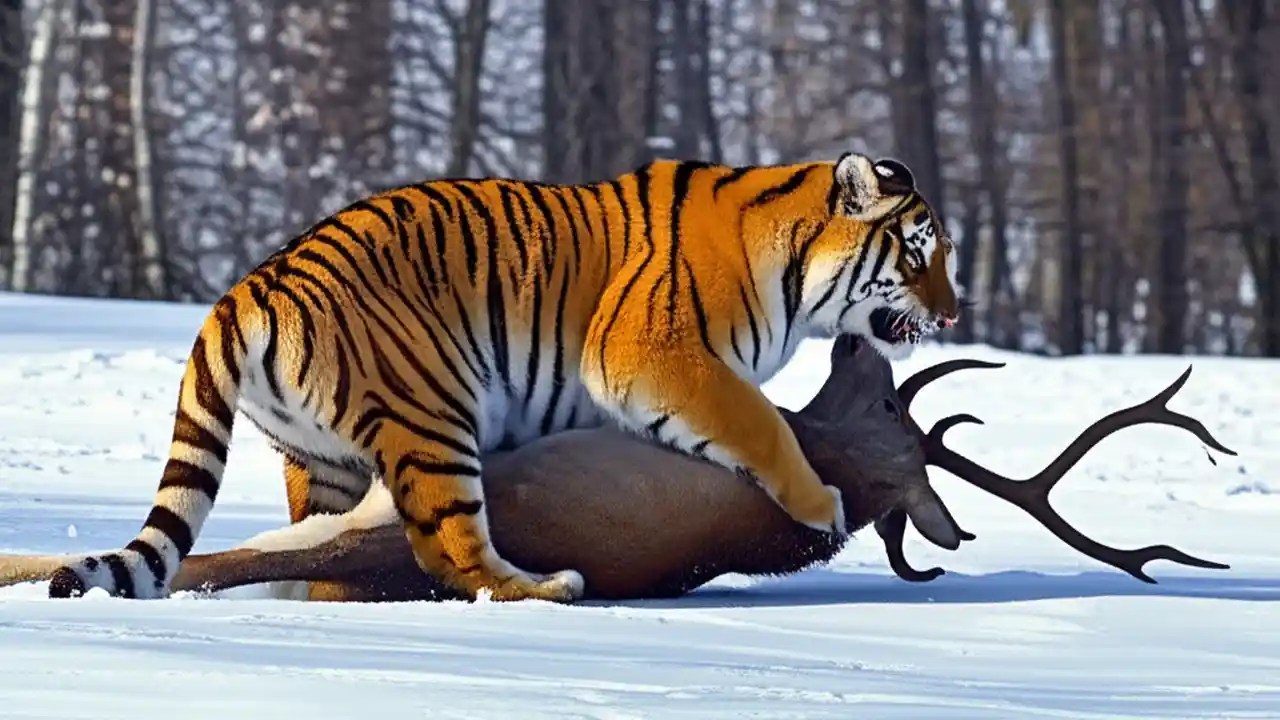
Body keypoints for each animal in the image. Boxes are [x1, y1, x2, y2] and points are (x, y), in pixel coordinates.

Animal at [45, 152, 960, 602]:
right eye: (920, 257)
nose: (953, 314)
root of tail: (251, 286)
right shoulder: (657, 359)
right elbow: (761, 423)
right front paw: (821, 503)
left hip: (322, 458)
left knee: (332, 551)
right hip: (436, 415)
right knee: (451, 551)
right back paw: (548, 586)